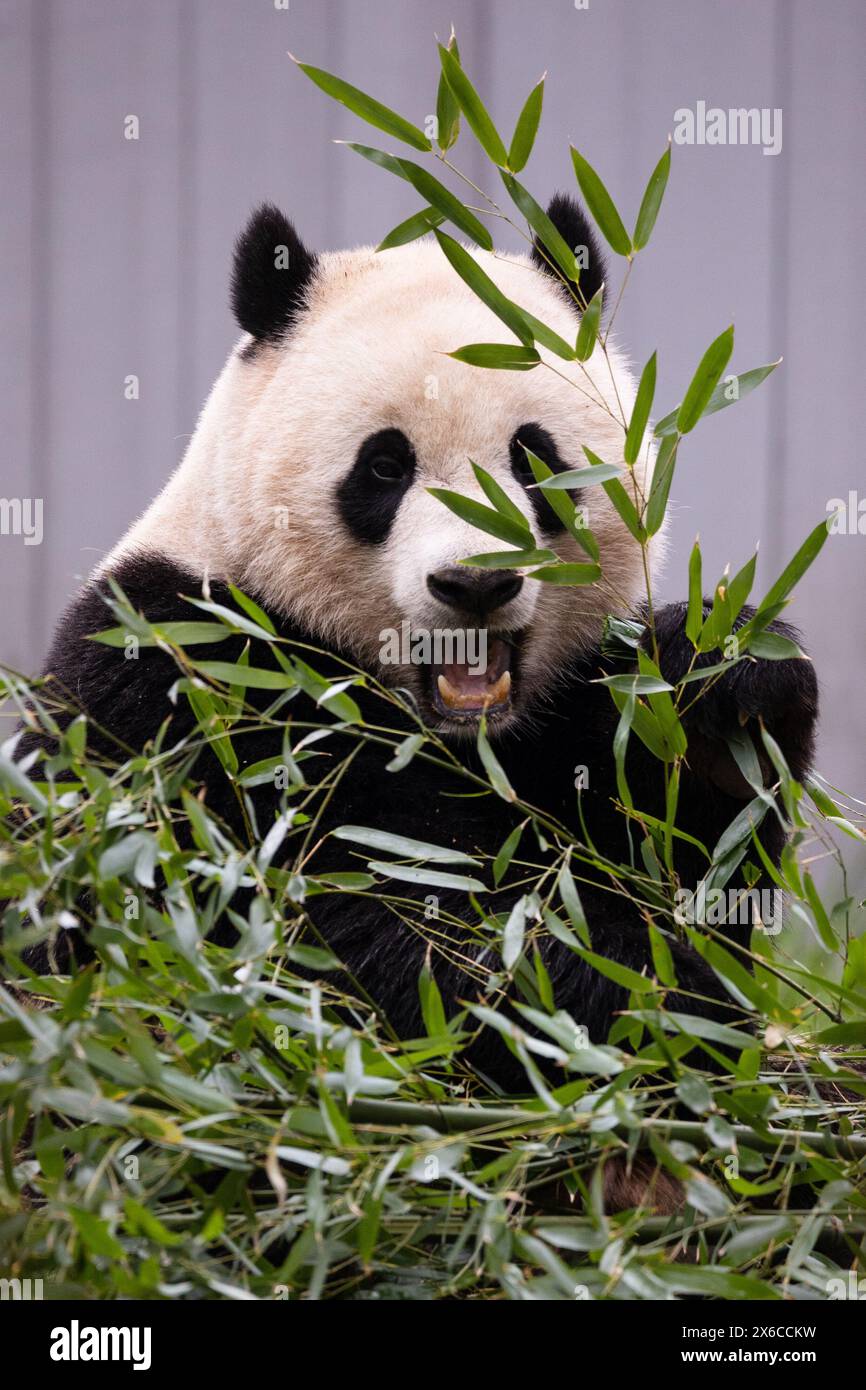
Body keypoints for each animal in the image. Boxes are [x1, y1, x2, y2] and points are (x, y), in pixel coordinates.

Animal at [25, 196, 818, 1106]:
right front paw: (653, 1009)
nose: (476, 583)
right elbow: (376, 919)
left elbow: (691, 857)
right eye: (384, 466)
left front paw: (730, 682)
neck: (460, 736)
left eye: (535, 459)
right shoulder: (189, 680)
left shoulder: (579, 716)